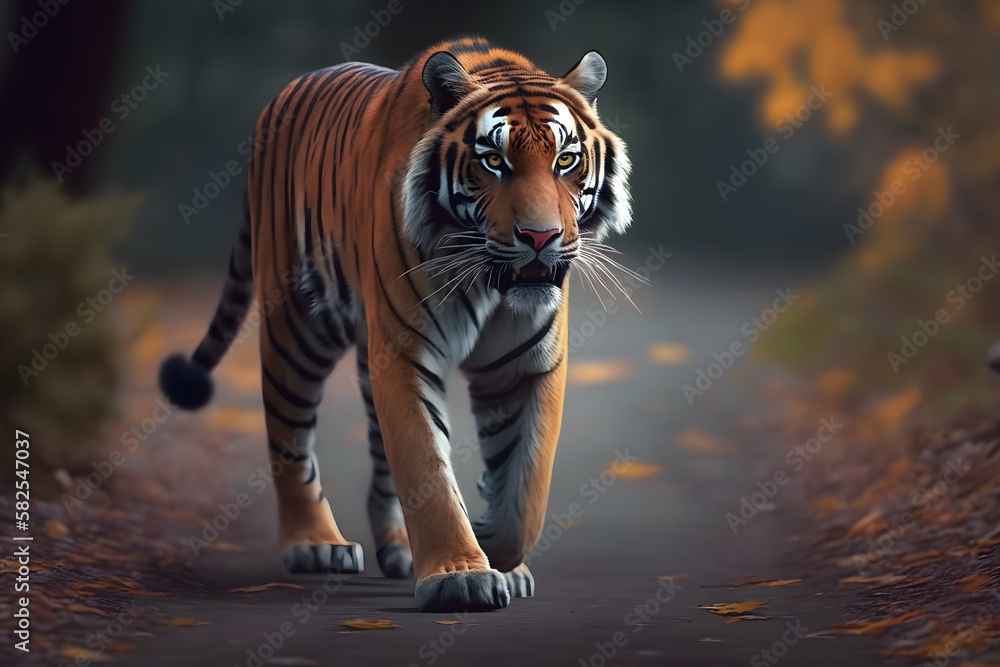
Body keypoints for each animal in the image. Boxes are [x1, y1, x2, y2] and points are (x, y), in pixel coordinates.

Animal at [158, 35, 632, 613]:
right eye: (493, 161)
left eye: (566, 160)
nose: (541, 238)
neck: (488, 283)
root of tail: (281, 95)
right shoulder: (406, 353)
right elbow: (427, 464)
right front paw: (460, 577)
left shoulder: (525, 365)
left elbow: (527, 485)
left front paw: (498, 548)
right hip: (299, 327)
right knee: (289, 438)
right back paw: (316, 543)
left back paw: (401, 549)